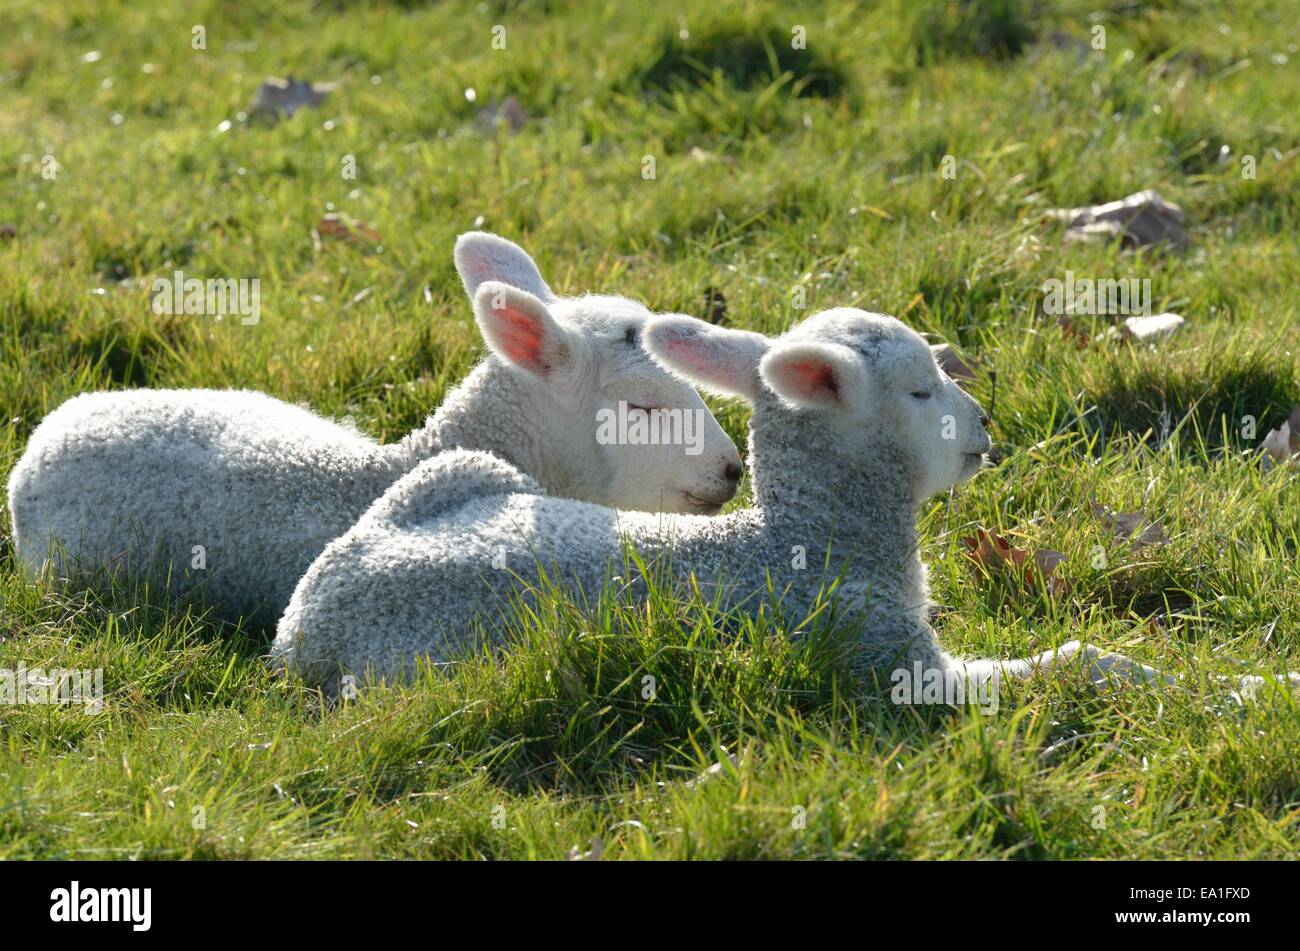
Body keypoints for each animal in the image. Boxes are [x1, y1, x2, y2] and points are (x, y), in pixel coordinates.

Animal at [273, 306, 1211, 698]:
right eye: (917, 391)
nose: (983, 427)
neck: (811, 540)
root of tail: (304, 614)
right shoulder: (886, 663)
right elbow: (1080, 662)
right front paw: (1226, 688)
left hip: (464, 473)